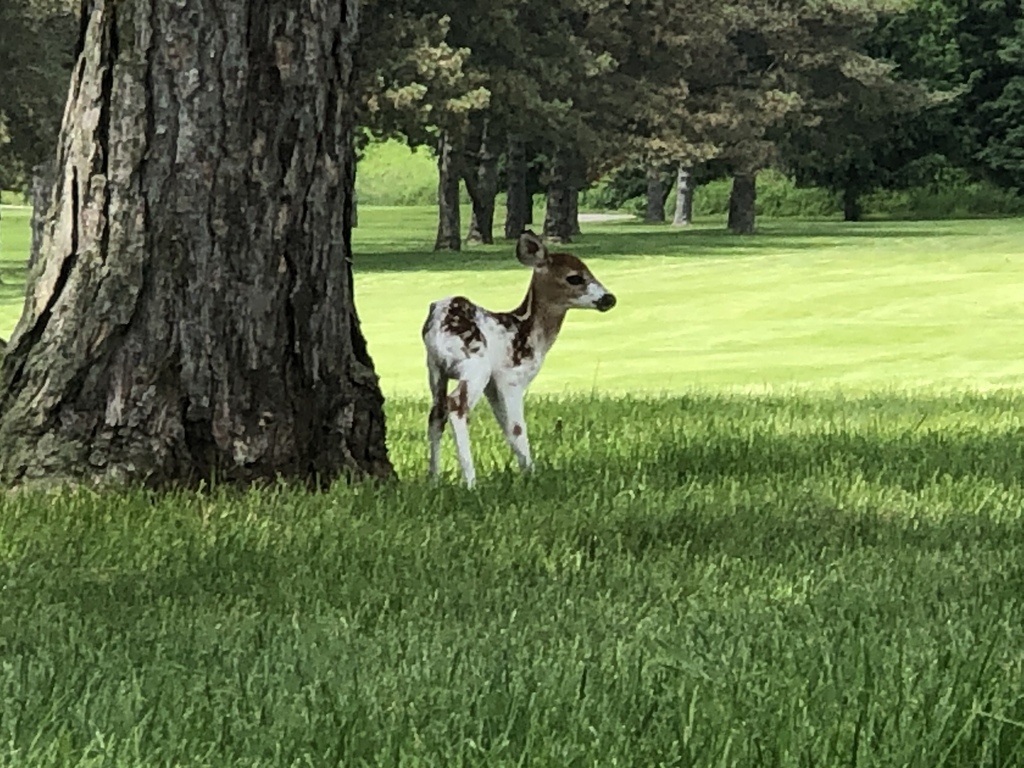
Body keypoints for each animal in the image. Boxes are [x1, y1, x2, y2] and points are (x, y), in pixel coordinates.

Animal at [421, 229, 617, 488]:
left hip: (435, 368)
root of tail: (437, 323)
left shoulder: (493, 386)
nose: (609, 298)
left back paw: (433, 478)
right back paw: (471, 482)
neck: (529, 332)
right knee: (456, 405)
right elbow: (517, 428)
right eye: (574, 278)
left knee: (436, 412)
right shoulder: (510, 377)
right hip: (475, 365)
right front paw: (532, 474)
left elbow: (506, 428)